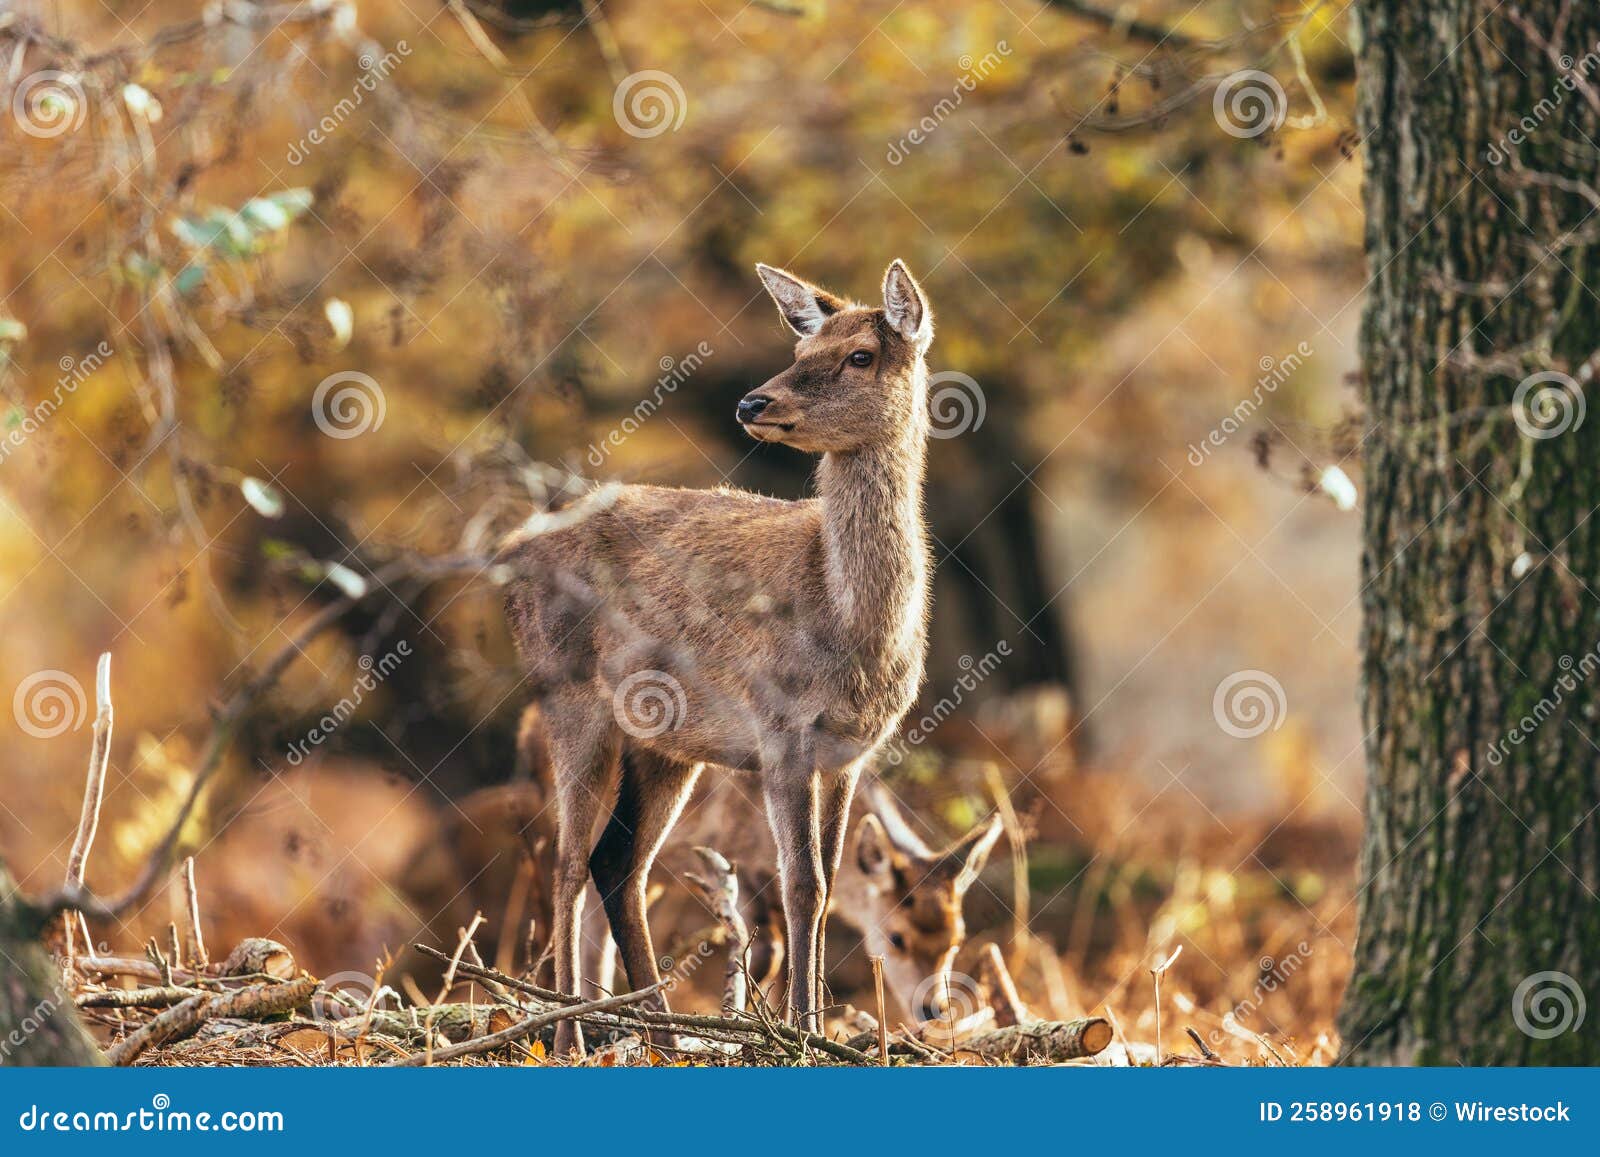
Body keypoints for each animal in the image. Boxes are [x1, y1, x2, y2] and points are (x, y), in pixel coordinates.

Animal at [499, 259, 938, 1054]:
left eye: (861, 355)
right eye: (802, 347)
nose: (752, 400)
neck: (855, 632)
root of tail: (508, 551)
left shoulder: (851, 752)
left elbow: (829, 882)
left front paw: (811, 1023)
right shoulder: (781, 728)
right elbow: (805, 884)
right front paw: (801, 1032)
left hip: (663, 744)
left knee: (618, 862)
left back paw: (659, 1035)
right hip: (569, 698)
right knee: (569, 862)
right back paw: (567, 1036)